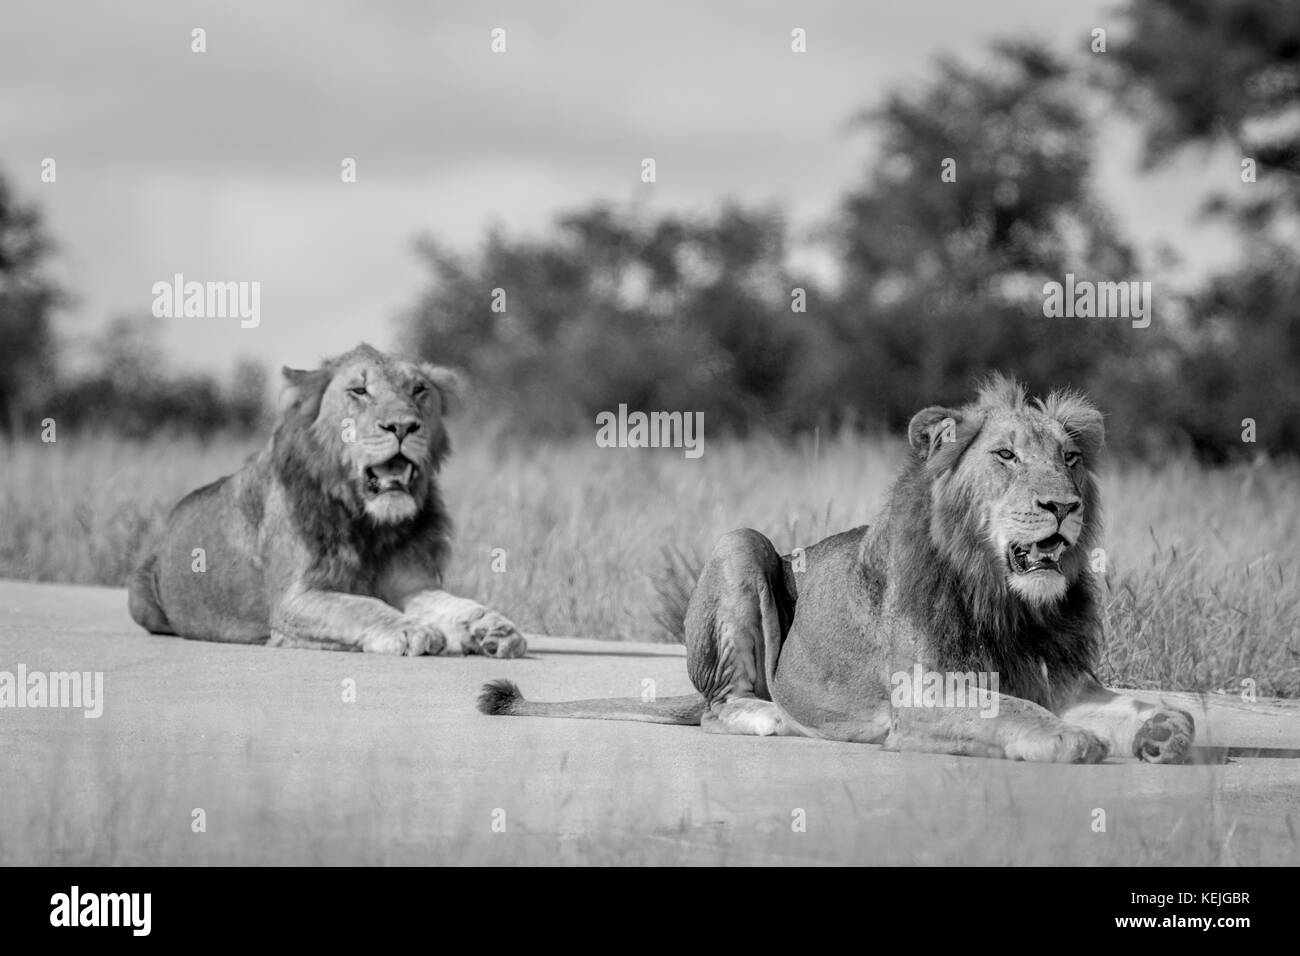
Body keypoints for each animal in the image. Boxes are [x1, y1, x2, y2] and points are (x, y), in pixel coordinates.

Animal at [128, 343, 527, 658]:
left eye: (419, 389)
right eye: (360, 390)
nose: (403, 426)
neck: (368, 522)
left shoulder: (412, 583)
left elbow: (455, 605)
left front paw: (495, 628)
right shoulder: (295, 599)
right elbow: (361, 606)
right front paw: (409, 629)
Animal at [478, 375, 1194, 762]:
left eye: (1070, 458)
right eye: (1006, 456)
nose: (1063, 506)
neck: (1004, 596)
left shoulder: (1064, 680)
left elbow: (1148, 706)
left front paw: (1164, 732)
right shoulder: (922, 693)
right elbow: (1014, 708)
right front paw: (1069, 740)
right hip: (742, 544)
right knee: (719, 706)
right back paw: (769, 715)